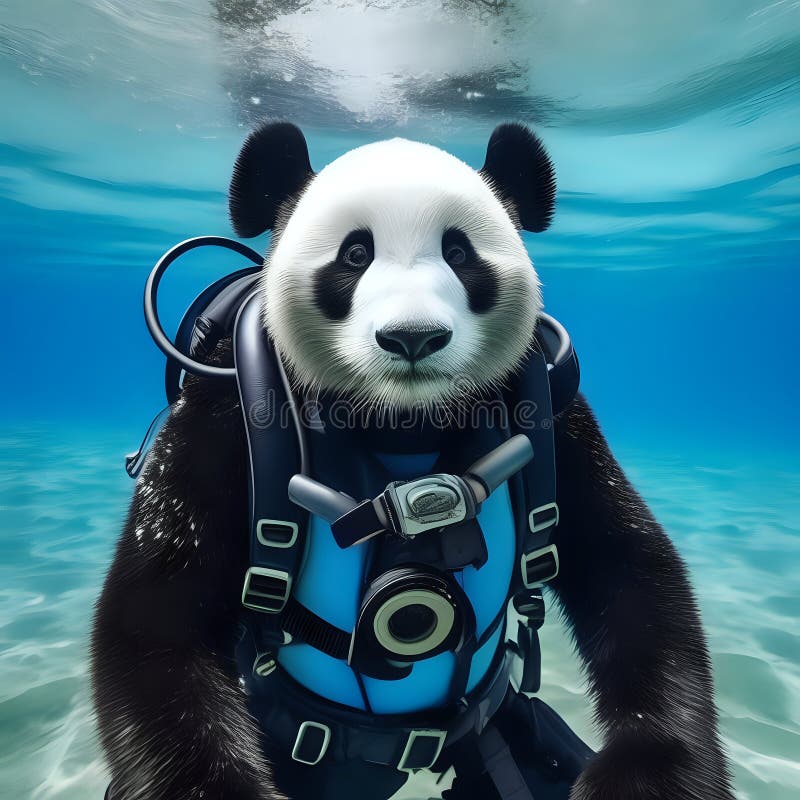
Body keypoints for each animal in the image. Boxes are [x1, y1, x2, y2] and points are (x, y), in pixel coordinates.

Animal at [91, 122, 735, 800]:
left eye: (459, 253)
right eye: (354, 256)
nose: (412, 337)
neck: (402, 423)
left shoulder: (555, 404)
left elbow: (628, 565)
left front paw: (644, 777)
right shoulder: (221, 410)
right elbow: (154, 619)